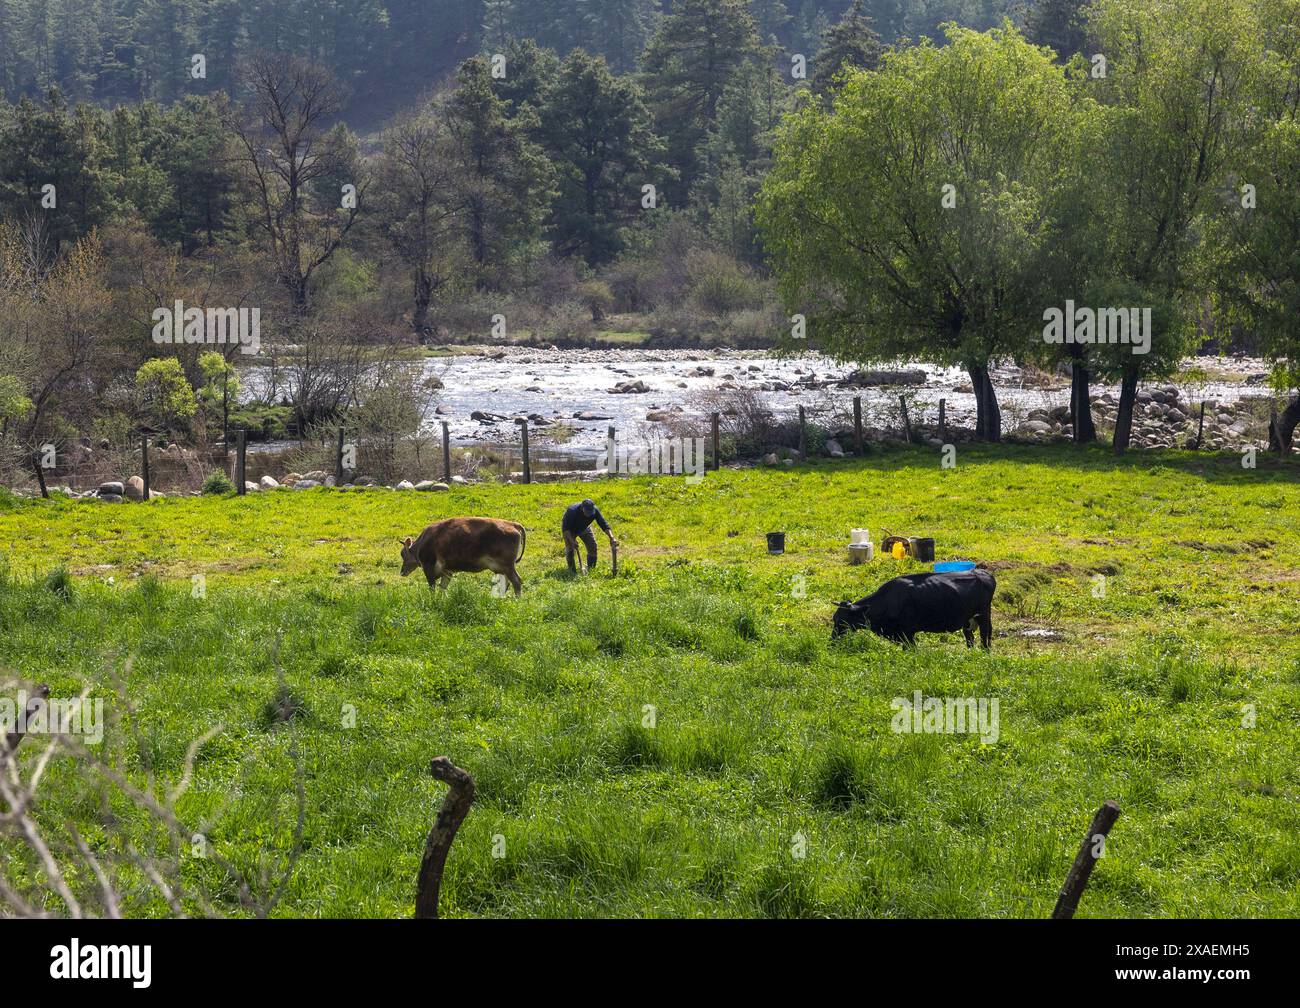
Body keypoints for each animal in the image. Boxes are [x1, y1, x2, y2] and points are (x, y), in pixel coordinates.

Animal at [832, 569, 996, 648]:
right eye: (834, 619)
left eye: (842, 621)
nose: (832, 640)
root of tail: (983, 573)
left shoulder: (907, 632)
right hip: (967, 621)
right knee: (970, 639)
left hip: (983, 615)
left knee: (985, 637)